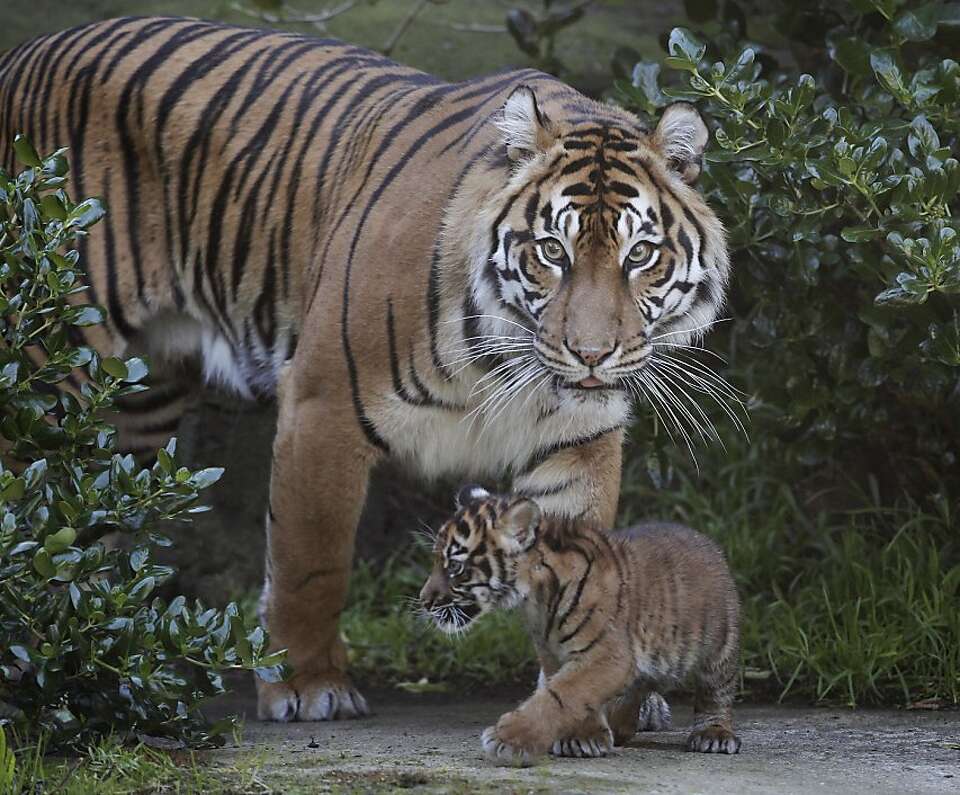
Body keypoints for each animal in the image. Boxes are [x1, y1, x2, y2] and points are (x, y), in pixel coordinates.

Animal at [0, 16, 730, 722]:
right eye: (553, 250)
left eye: (641, 255)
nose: (591, 353)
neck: (504, 364)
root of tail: (21, 54)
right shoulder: (322, 407)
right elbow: (311, 563)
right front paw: (306, 685)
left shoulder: (578, 443)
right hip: (53, 370)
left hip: (134, 404)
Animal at [420, 485, 742, 764]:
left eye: (455, 566)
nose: (424, 601)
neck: (535, 597)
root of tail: (706, 540)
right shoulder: (552, 653)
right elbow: (568, 692)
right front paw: (585, 737)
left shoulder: (606, 654)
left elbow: (561, 695)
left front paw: (508, 739)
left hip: (720, 647)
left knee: (715, 693)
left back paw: (713, 734)